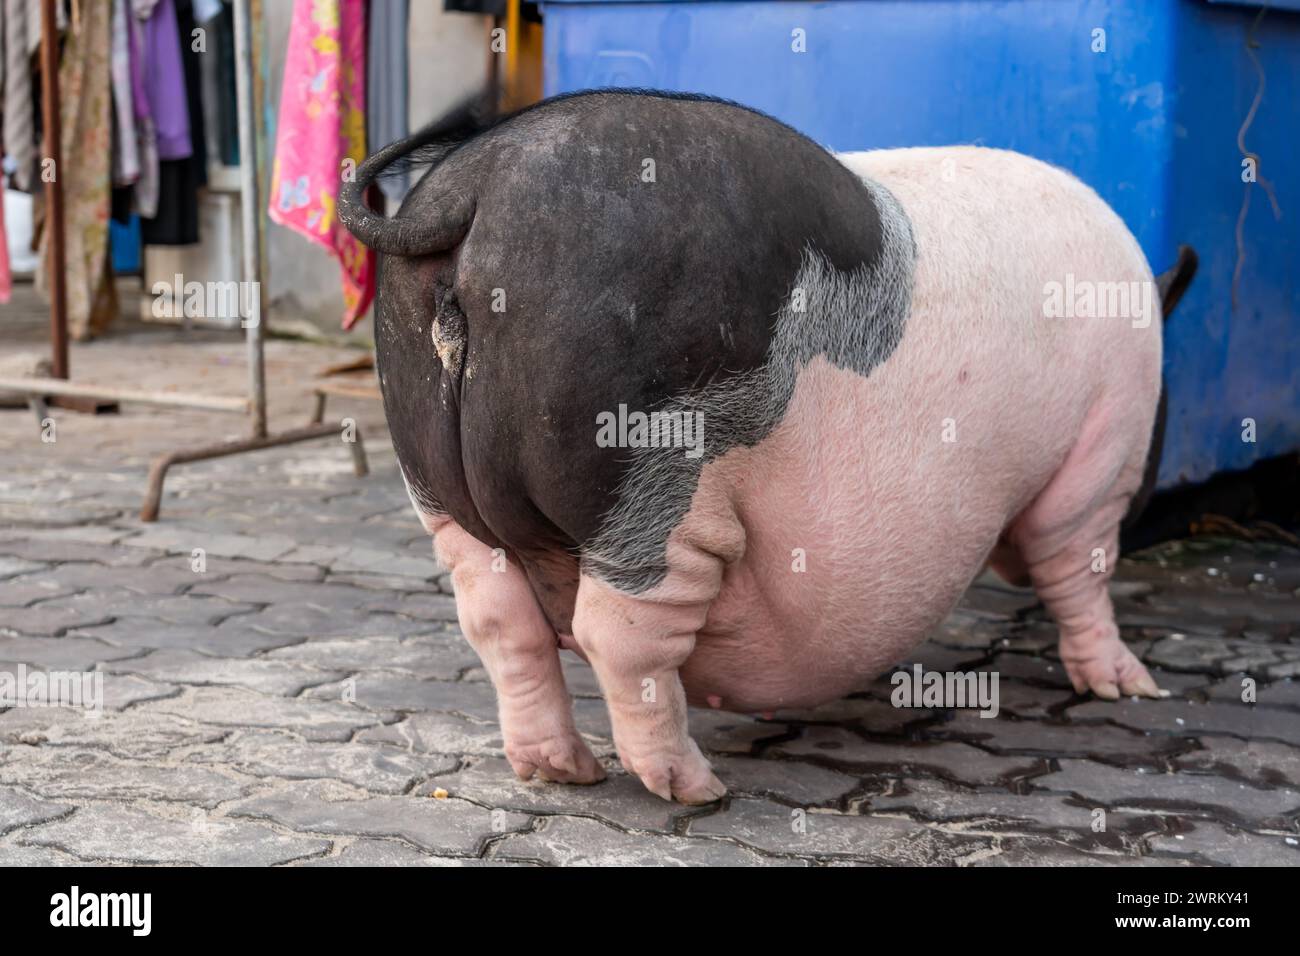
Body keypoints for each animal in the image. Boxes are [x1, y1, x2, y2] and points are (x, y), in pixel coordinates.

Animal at [339, 90, 1197, 804]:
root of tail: (476, 192)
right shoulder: (1102, 449)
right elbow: (1079, 564)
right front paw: (1130, 688)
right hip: (651, 484)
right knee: (619, 639)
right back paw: (696, 790)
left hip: (439, 488)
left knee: (498, 622)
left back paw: (561, 772)